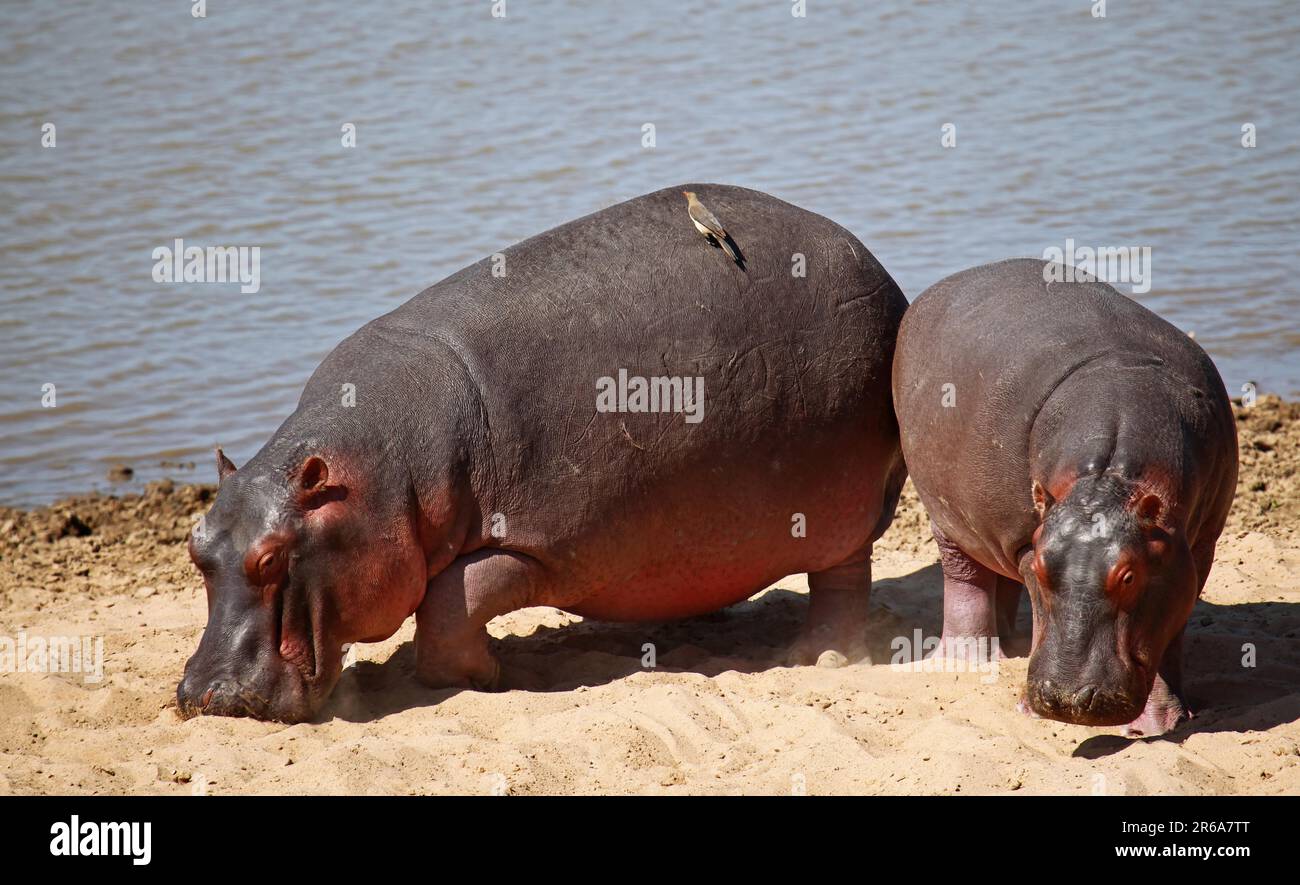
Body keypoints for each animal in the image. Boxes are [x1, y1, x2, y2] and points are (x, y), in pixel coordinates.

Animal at [177, 183, 909, 722]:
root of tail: (881, 271)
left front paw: (492, 674)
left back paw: (819, 655)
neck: (379, 480)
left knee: (843, 580)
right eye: (195, 545)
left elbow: (448, 607)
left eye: (271, 558)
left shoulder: (536, 545)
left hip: (839, 512)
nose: (207, 693)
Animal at [893, 258, 1237, 736]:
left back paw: (1009, 648)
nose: (1069, 701)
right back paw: (966, 663)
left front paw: (1162, 724)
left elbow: (1169, 631)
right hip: (946, 515)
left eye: (1128, 576)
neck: (1108, 482)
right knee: (964, 577)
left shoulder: (1197, 549)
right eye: (1041, 567)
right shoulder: (1026, 544)